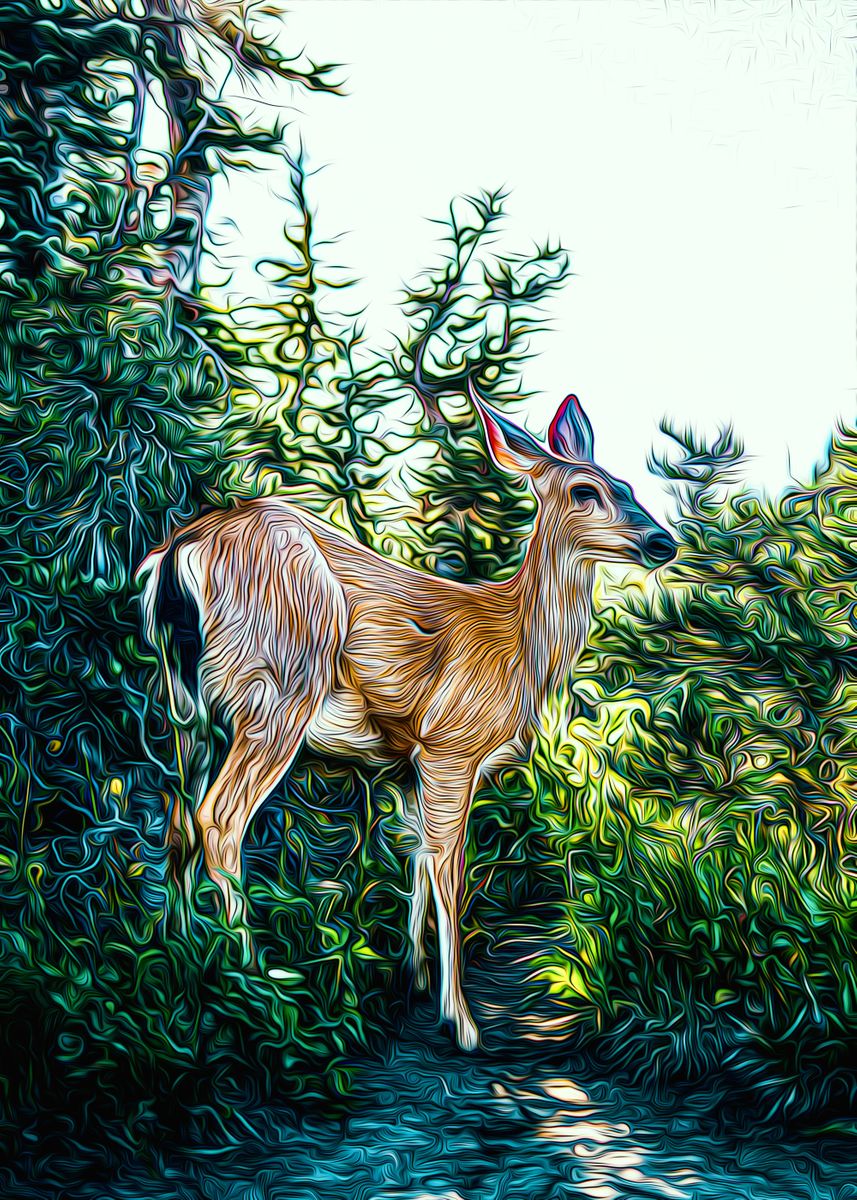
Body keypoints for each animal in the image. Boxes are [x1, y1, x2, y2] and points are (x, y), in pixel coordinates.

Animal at [137, 391, 676, 1050]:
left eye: (628, 485)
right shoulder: (451, 746)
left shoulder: (414, 761)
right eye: (585, 490)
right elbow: (450, 875)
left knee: (177, 816)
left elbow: (417, 860)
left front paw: (414, 982)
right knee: (220, 819)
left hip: (186, 704)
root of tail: (176, 551)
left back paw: (187, 955)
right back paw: (256, 978)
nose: (662, 543)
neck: (516, 649)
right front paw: (462, 1021)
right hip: (280, 682)